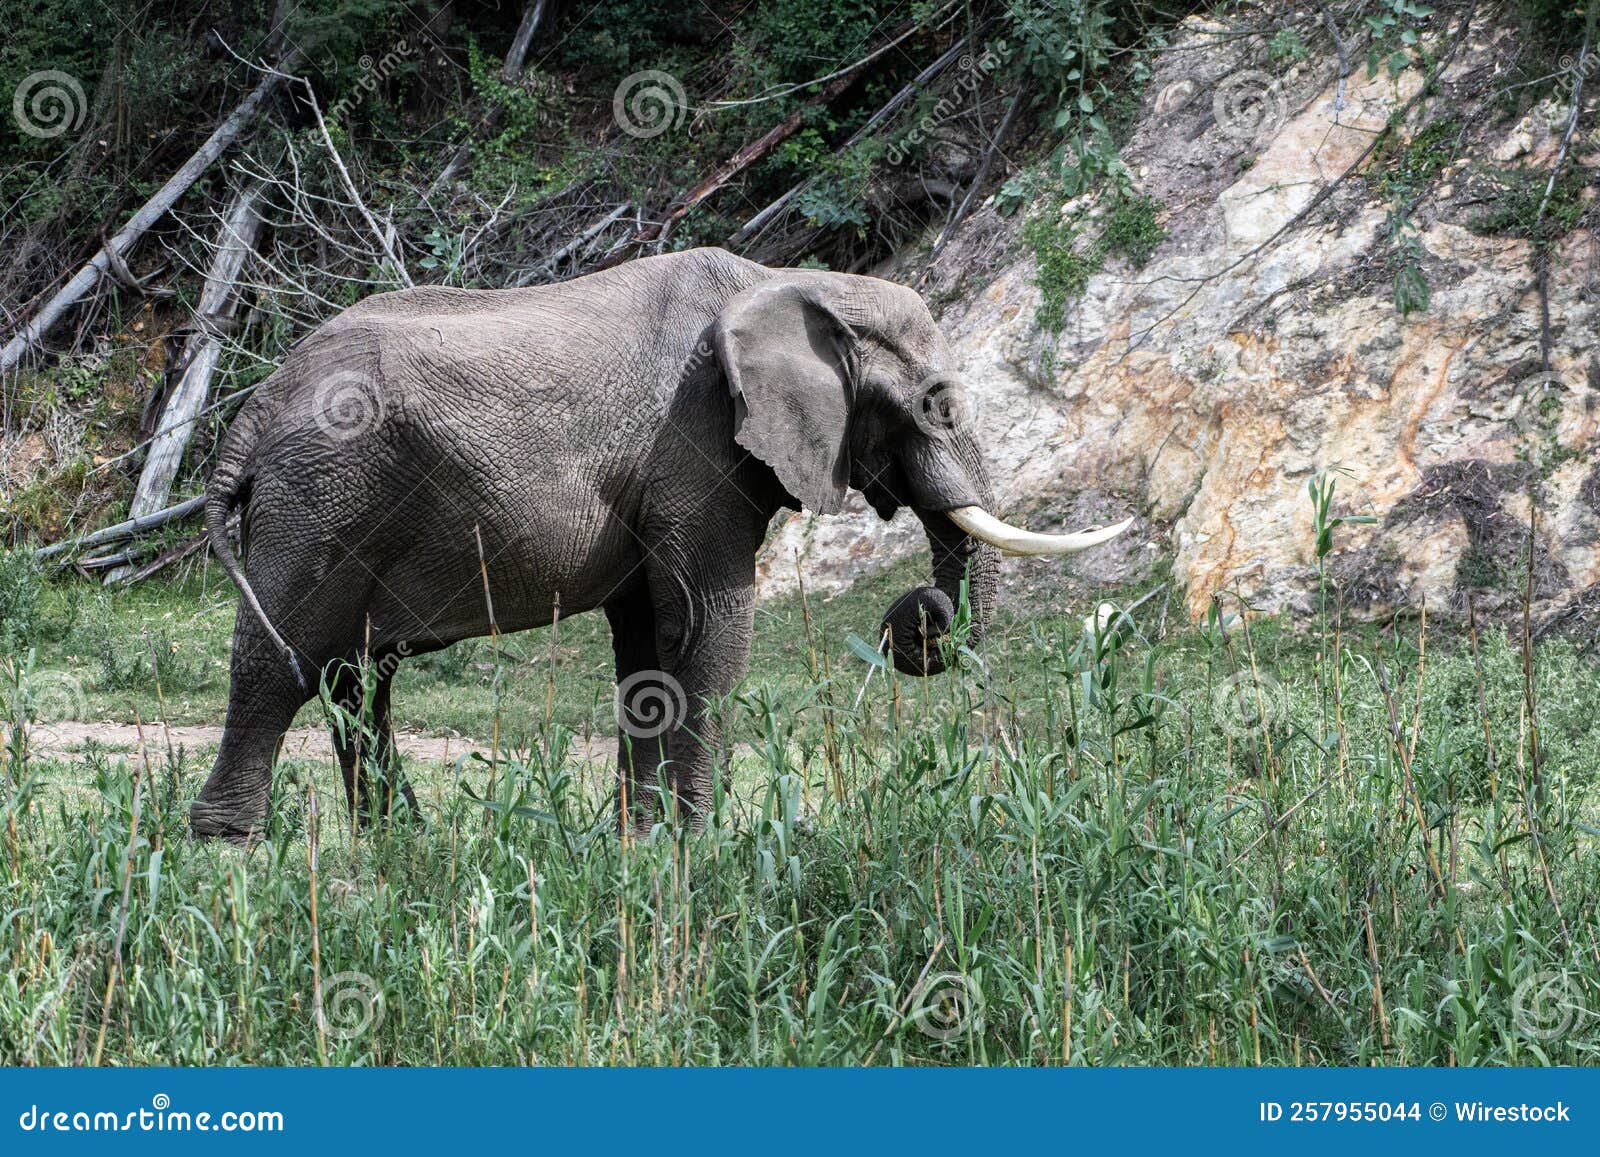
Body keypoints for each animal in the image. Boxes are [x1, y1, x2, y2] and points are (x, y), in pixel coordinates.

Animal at [190, 247, 1130, 839]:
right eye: (937, 403)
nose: (916, 617)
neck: (787, 284)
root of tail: (253, 412)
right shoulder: (695, 442)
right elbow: (708, 625)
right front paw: (700, 842)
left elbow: (645, 642)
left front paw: (639, 841)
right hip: (323, 497)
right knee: (283, 657)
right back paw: (232, 842)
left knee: (356, 677)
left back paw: (399, 841)